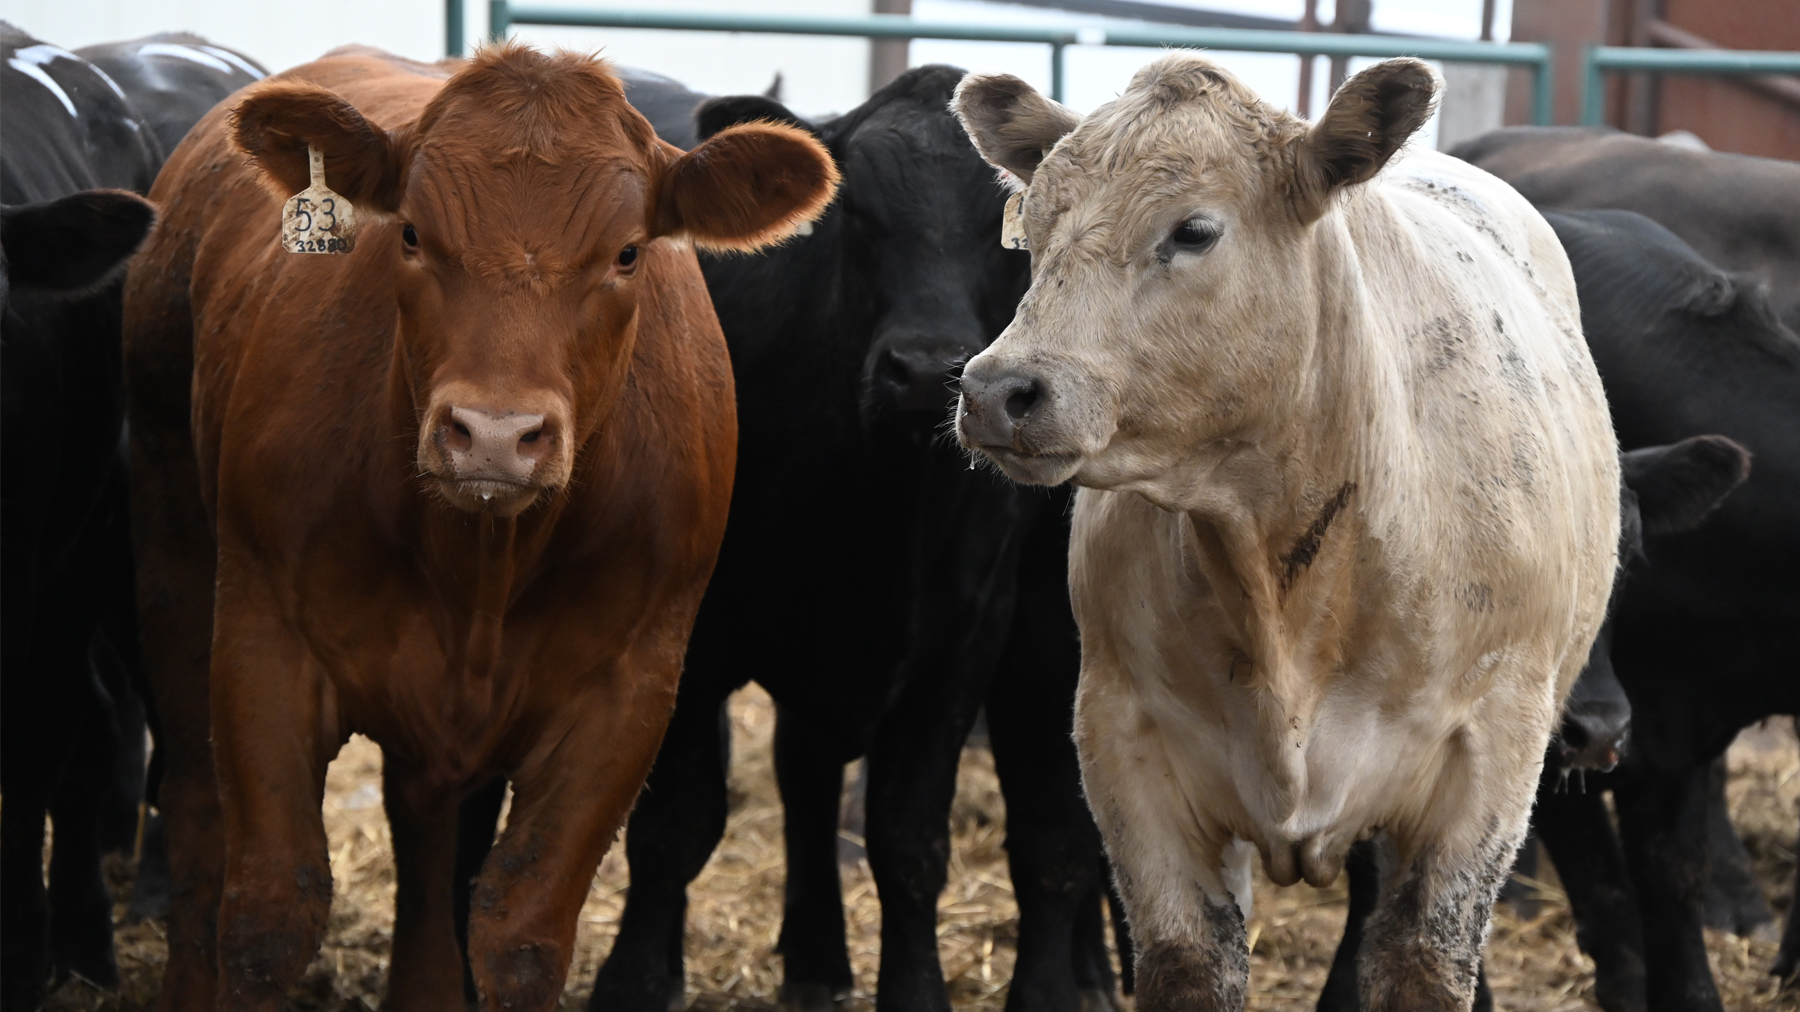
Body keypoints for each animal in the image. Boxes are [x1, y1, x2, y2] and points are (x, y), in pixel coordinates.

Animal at [123, 42, 835, 1011]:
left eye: (627, 252)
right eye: (413, 235)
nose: (495, 434)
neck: (484, 565)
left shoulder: (627, 690)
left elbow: (520, 932)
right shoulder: (261, 641)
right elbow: (271, 915)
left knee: (424, 833)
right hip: (173, 555)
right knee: (197, 801)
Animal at [457, 64, 1126, 1012]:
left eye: (1009, 233)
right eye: (857, 212)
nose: (925, 369)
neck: (883, 505)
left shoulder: (966, 642)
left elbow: (913, 838)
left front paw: (918, 991)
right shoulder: (692, 631)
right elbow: (674, 824)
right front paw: (633, 979)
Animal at [951, 55, 1621, 1011]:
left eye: (1194, 230)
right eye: (1034, 228)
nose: (998, 389)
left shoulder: (1489, 760)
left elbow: (1422, 961)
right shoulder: (1126, 747)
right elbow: (1187, 961)